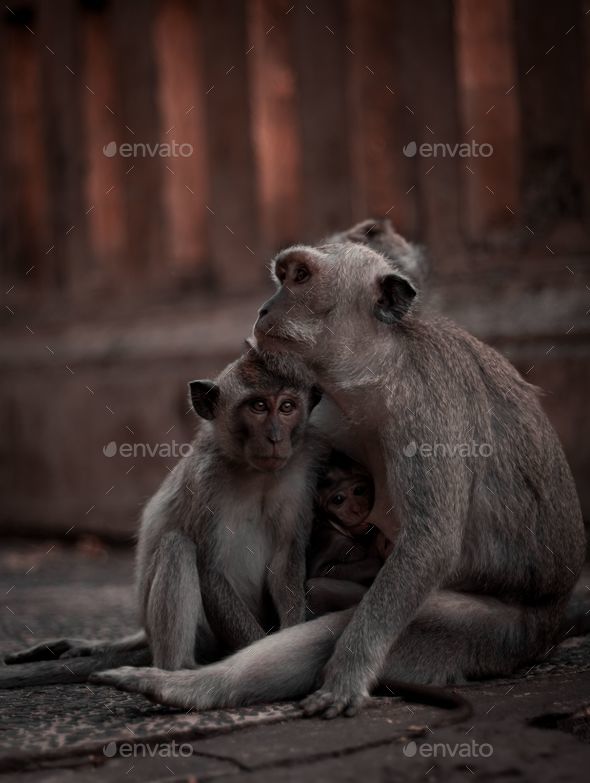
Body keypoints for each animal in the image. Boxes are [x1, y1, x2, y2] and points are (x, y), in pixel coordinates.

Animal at [90, 218, 585, 721]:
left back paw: (189, 686)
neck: (380, 371)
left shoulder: (428, 404)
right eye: (282, 275)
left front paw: (347, 671)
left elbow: (430, 542)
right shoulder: (322, 408)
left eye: (300, 277)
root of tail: (553, 618)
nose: (264, 308)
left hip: (500, 633)